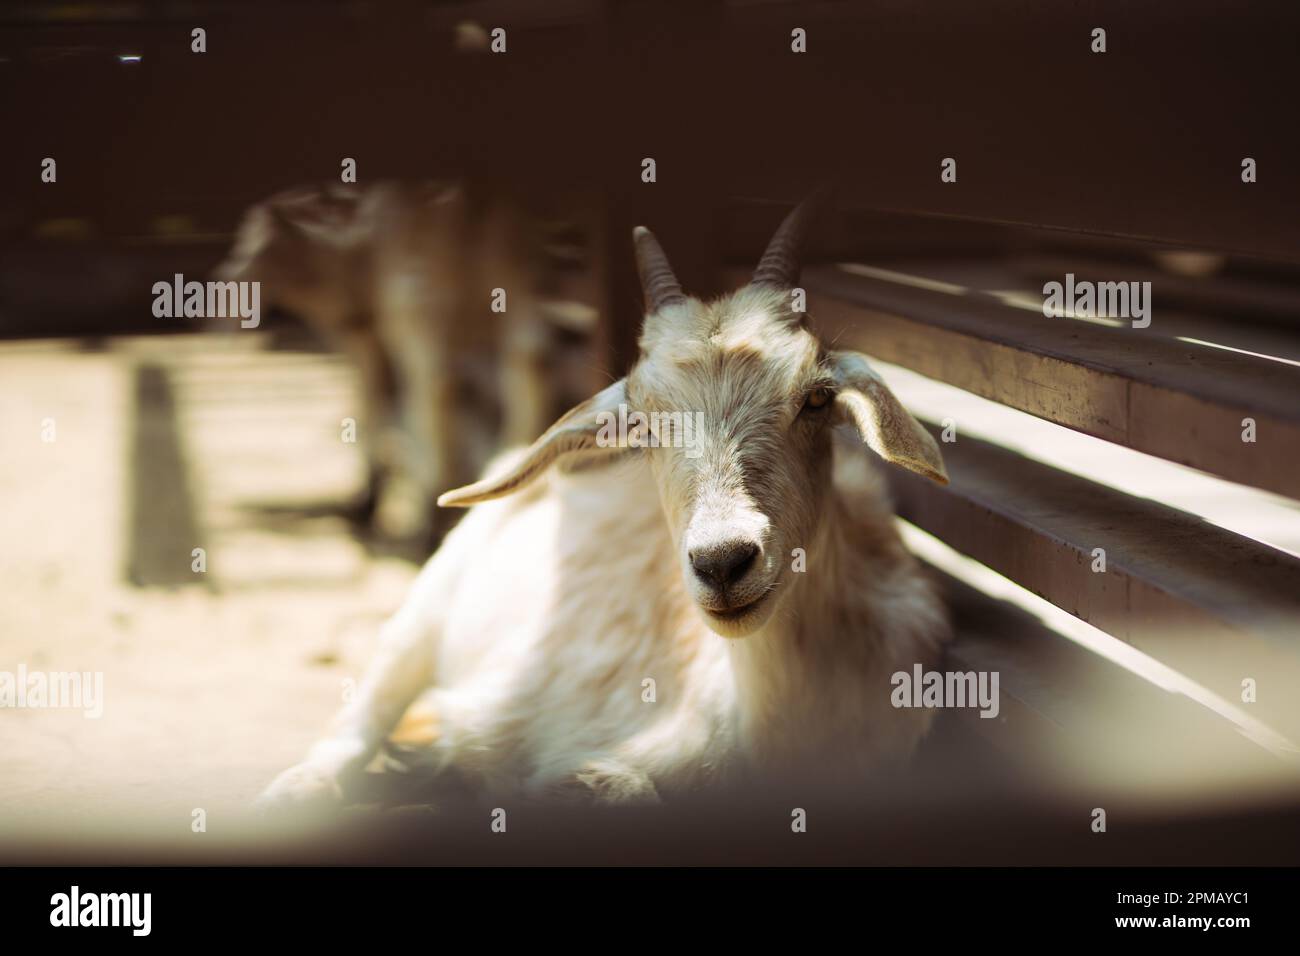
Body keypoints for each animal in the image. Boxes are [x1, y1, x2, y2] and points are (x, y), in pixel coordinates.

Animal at [258, 198, 951, 809]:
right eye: (641, 422)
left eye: (816, 398)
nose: (723, 561)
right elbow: (610, 785)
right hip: (423, 610)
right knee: (359, 720)